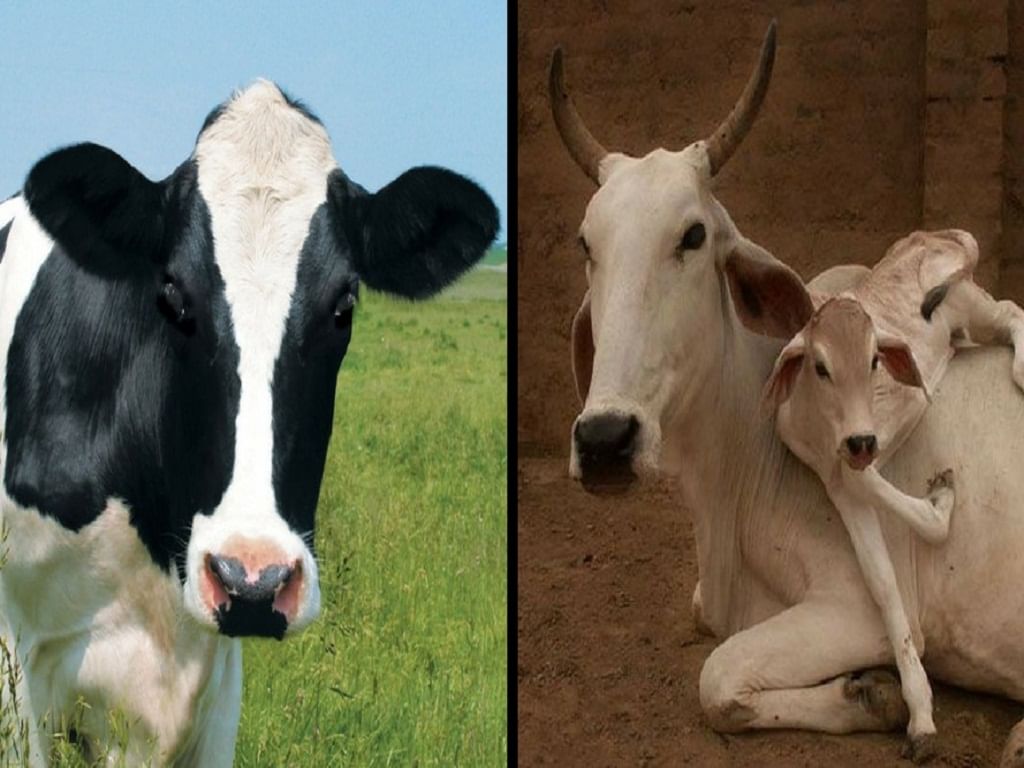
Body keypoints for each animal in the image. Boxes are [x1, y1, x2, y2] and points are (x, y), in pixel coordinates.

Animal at [552, 22, 1024, 766]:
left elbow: (717, 679)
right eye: (585, 243)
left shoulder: (853, 609)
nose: (604, 440)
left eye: (693, 235)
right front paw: (876, 696)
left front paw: (886, 698)